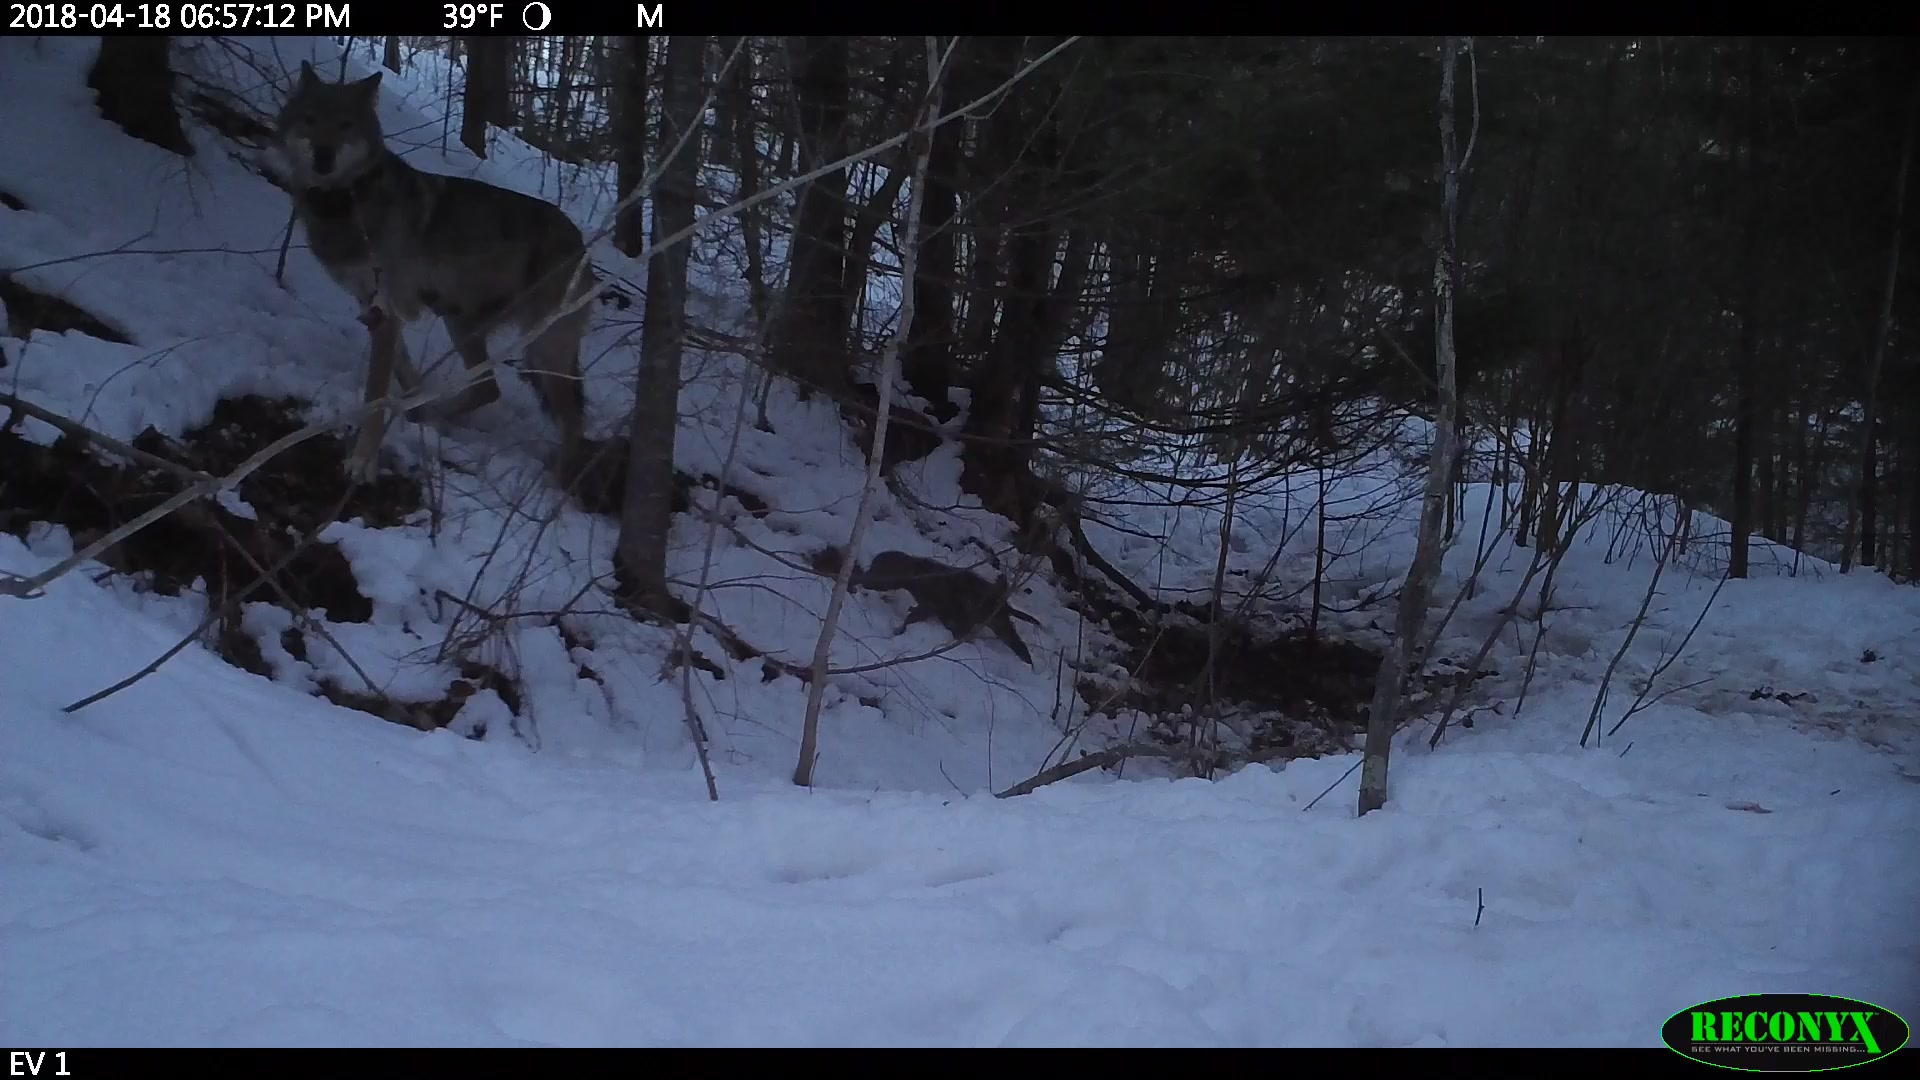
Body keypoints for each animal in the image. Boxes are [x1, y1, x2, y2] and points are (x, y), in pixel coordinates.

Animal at [274, 62, 593, 482]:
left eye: (345, 125)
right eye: (310, 119)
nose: (322, 157)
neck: (346, 202)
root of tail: (583, 244)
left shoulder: (387, 310)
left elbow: (376, 394)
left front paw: (362, 462)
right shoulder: (373, 307)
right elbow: (402, 370)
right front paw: (413, 406)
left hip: (536, 348)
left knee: (568, 419)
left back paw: (556, 481)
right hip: (462, 321)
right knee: (490, 389)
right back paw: (435, 413)